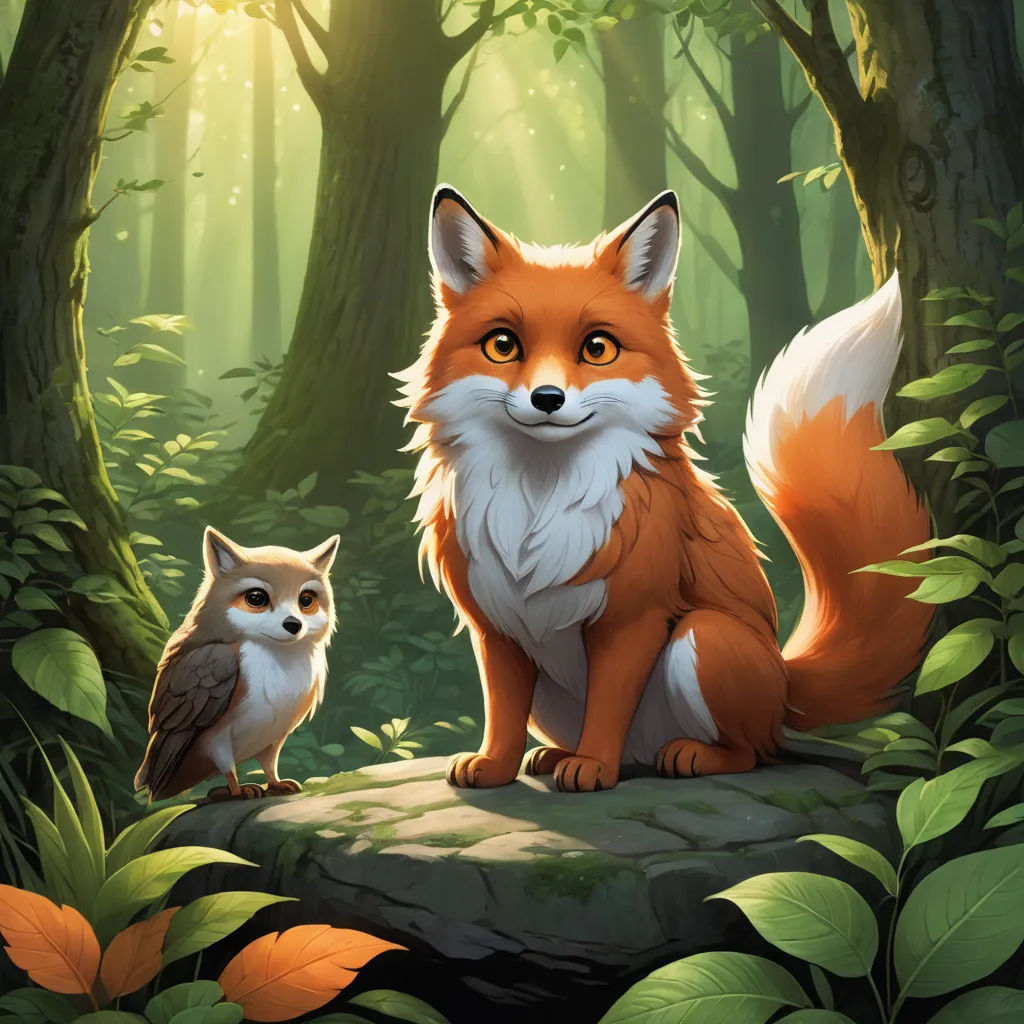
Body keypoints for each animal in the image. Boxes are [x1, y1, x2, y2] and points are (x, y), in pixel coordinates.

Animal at [134, 527, 340, 801]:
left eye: (306, 600)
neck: (276, 652)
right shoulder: (216, 737)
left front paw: (275, 783)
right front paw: (237, 790)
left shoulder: (276, 735)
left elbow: (269, 762)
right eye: (256, 598)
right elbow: (227, 764)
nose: (293, 624)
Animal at [396, 184, 933, 794]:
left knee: (753, 753)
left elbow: (609, 705)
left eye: (597, 348)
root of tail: (784, 684)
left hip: (705, 639)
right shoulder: (497, 626)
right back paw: (557, 756)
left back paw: (685, 758)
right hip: (557, 700)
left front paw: (593, 769)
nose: (548, 398)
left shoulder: (633, 618)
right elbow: (503, 712)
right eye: (503, 345)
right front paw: (494, 767)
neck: (540, 504)